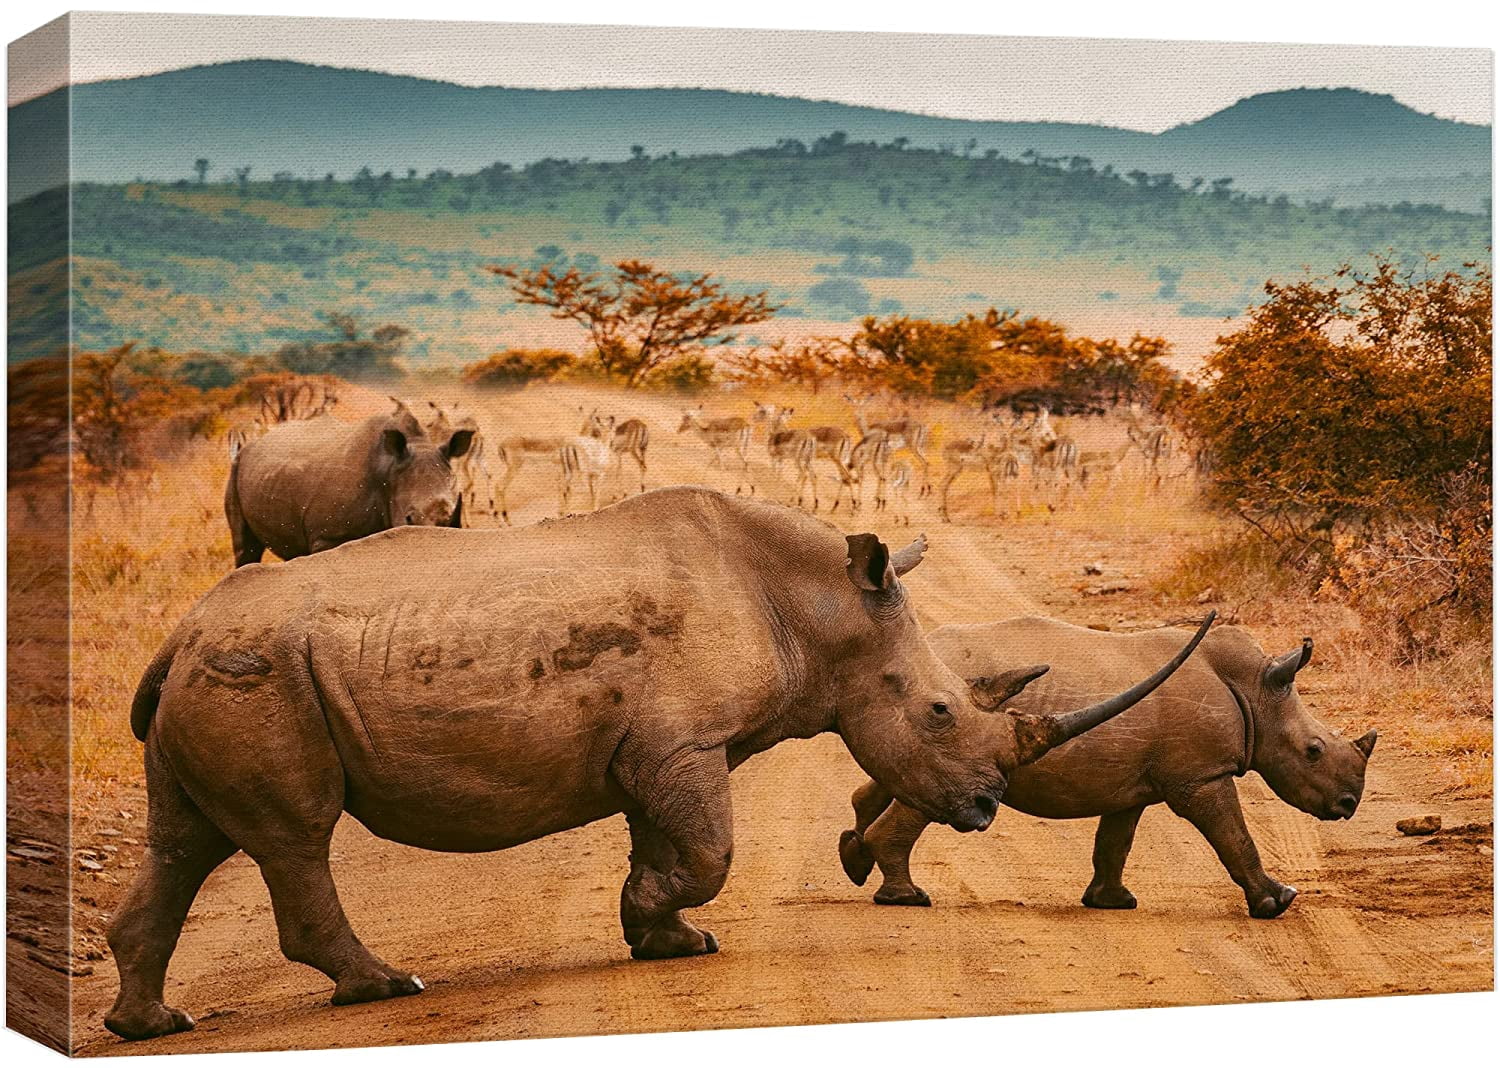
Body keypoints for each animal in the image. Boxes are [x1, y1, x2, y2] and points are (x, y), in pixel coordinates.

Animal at [106, 489, 1209, 1040]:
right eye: (940, 712)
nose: (984, 806)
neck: (817, 607)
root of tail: (173, 634)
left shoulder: (653, 748)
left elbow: (670, 844)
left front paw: (664, 940)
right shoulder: (684, 742)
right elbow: (712, 850)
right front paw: (658, 923)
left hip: (219, 674)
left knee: (185, 841)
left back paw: (153, 1024)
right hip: (258, 674)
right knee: (294, 836)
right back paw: (386, 989)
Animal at [224, 407, 475, 566]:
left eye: (451, 518)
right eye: (409, 518)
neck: (388, 469)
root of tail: (252, 443)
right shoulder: (327, 536)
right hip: (236, 467)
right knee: (245, 548)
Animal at [839, 617, 1377, 919]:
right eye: (1313, 751)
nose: (1348, 804)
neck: (1256, 690)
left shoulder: (1131, 781)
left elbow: (1115, 841)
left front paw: (1112, 903)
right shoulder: (1201, 777)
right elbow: (1234, 836)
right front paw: (1277, 903)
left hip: (929, 715)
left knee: (897, 775)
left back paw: (856, 861)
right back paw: (908, 898)